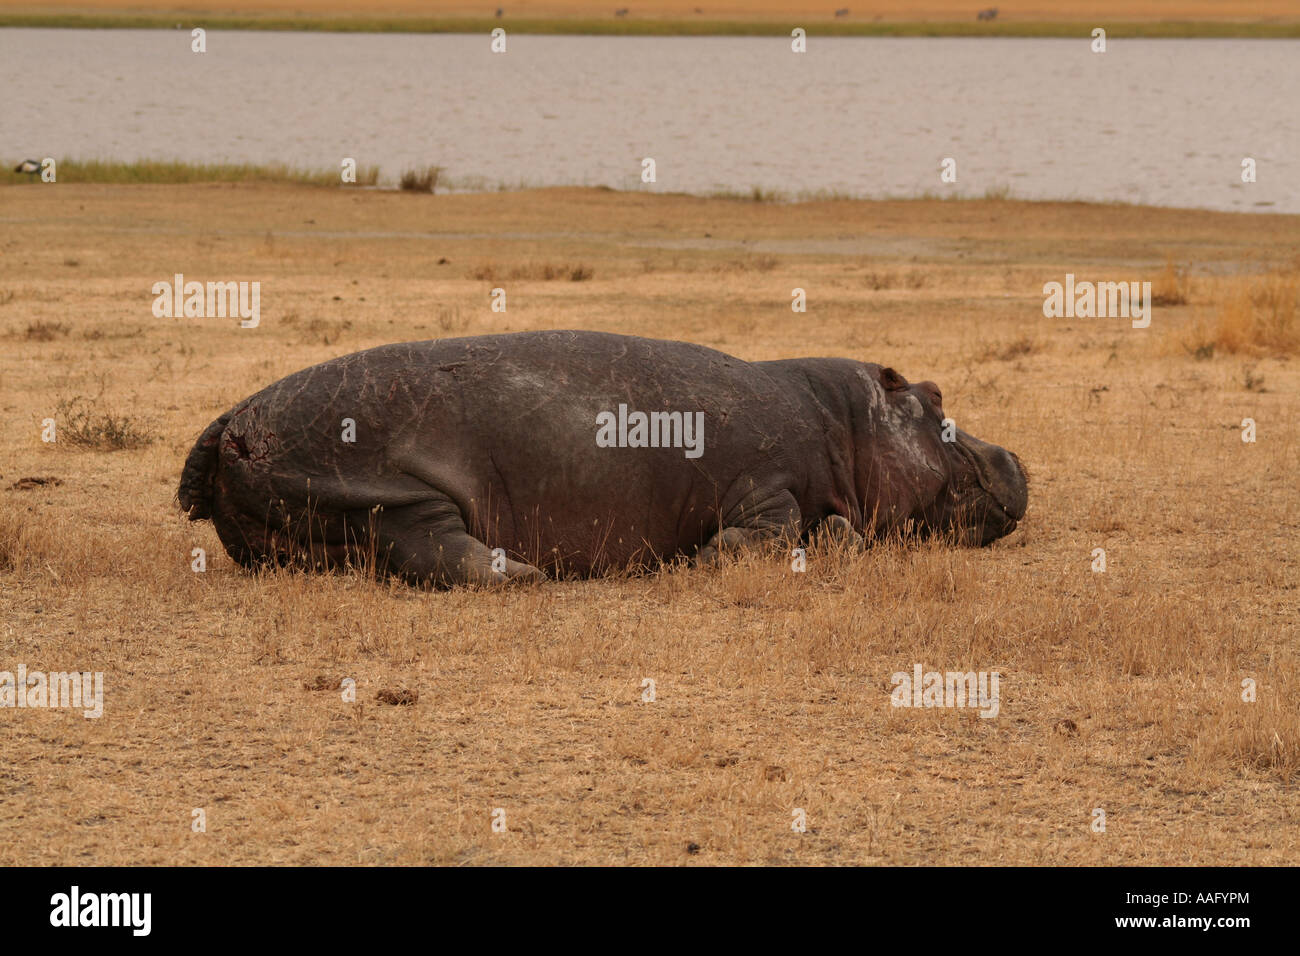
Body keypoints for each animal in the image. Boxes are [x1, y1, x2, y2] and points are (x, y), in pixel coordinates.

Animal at [178, 330, 1027, 585]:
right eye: (937, 396)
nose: (1014, 456)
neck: (845, 424)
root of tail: (231, 424)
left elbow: (833, 529)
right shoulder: (764, 483)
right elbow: (775, 523)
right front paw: (708, 557)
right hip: (381, 489)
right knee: (425, 547)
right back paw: (523, 574)